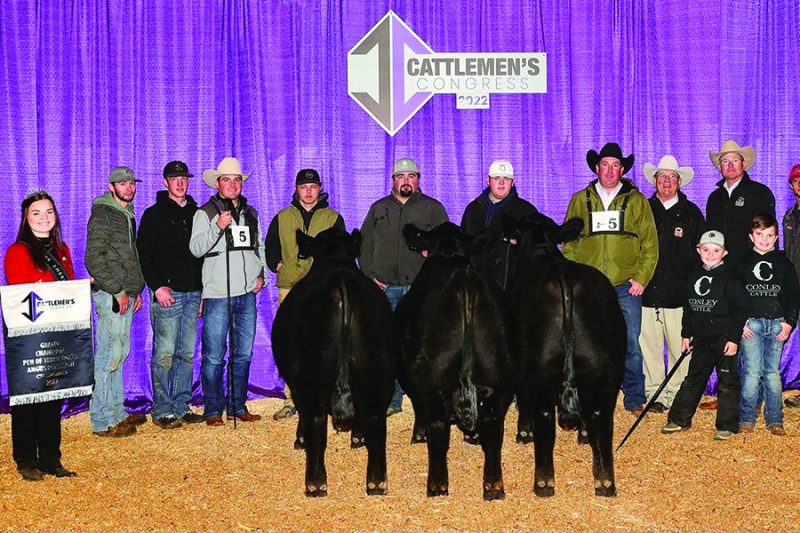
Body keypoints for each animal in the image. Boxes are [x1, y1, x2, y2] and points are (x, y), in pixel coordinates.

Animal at [271, 228, 395, 497]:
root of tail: (341, 280)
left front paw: (300, 440)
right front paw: (358, 438)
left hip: (311, 377)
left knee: (316, 420)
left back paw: (315, 483)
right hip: (378, 371)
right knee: (376, 419)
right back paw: (376, 482)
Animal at [395, 222, 514, 501]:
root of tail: (465, 281)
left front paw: (419, 435)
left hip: (435, 381)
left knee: (439, 425)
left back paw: (437, 486)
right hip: (500, 380)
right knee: (493, 425)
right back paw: (494, 487)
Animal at [504, 213, 626, 497]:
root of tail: (565, 274)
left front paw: (523, 433)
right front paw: (583, 435)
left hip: (537, 369)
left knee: (544, 419)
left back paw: (543, 483)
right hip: (606, 371)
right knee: (601, 420)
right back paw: (604, 480)